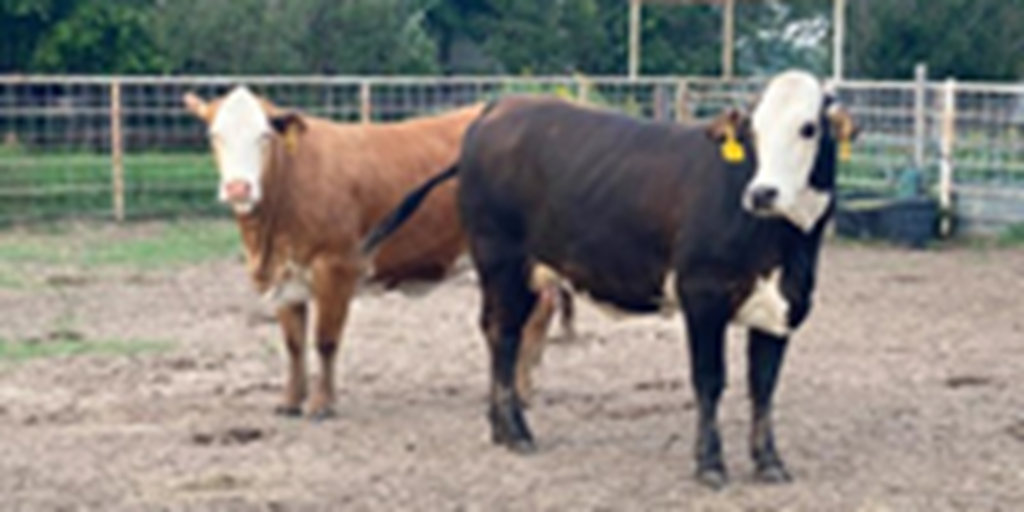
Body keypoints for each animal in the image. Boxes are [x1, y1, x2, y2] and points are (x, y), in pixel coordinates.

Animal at [183, 86, 571, 420]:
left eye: (264, 136)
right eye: (214, 135)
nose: (238, 187)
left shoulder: (336, 267)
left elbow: (325, 341)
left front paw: (322, 404)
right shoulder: (285, 275)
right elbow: (293, 344)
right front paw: (290, 401)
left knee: (536, 313)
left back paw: (522, 392)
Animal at [361, 70, 856, 488]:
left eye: (808, 128)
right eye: (752, 131)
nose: (762, 193)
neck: (785, 246)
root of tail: (497, 109)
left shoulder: (782, 307)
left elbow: (763, 387)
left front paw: (769, 461)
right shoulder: (702, 296)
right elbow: (710, 380)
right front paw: (710, 464)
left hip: (522, 272)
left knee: (502, 334)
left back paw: (501, 429)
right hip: (499, 259)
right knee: (503, 335)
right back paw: (517, 433)